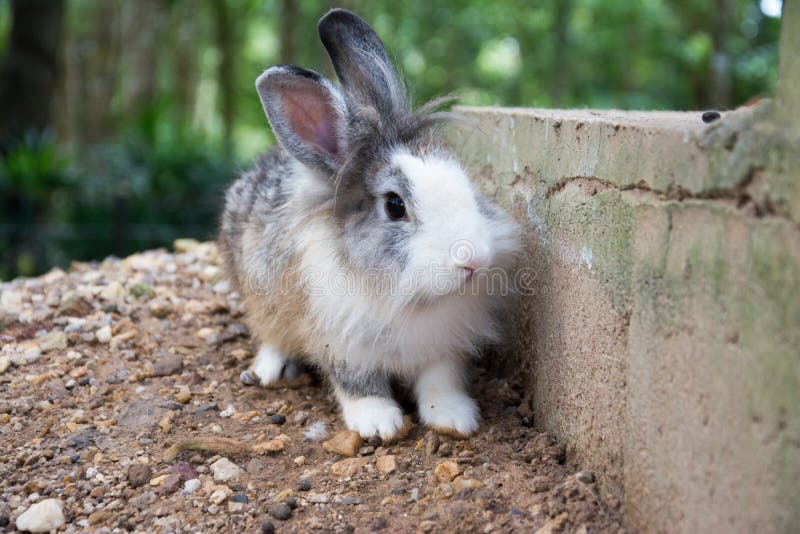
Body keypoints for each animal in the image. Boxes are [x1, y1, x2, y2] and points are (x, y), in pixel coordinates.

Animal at [219, 8, 519, 441]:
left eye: (466, 181)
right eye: (394, 206)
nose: (473, 260)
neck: (411, 298)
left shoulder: (443, 346)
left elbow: (440, 380)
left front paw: (454, 418)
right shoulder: (342, 344)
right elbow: (358, 383)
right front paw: (379, 423)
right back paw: (270, 370)